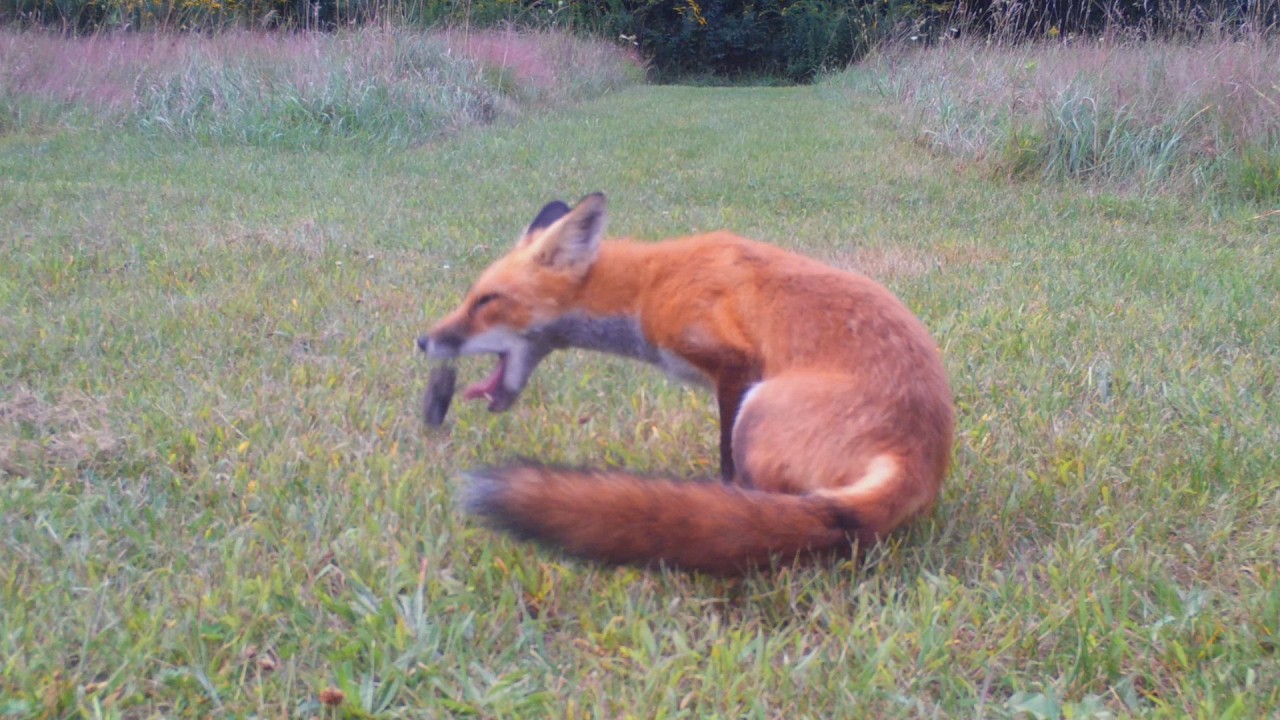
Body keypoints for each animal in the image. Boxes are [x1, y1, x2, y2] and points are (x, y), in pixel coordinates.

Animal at [419, 193, 954, 575]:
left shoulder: (734, 363)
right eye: (472, 297)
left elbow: (724, 467)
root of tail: (916, 458)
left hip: (757, 411)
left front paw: (718, 502)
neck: (647, 287)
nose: (424, 341)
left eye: (487, 301)